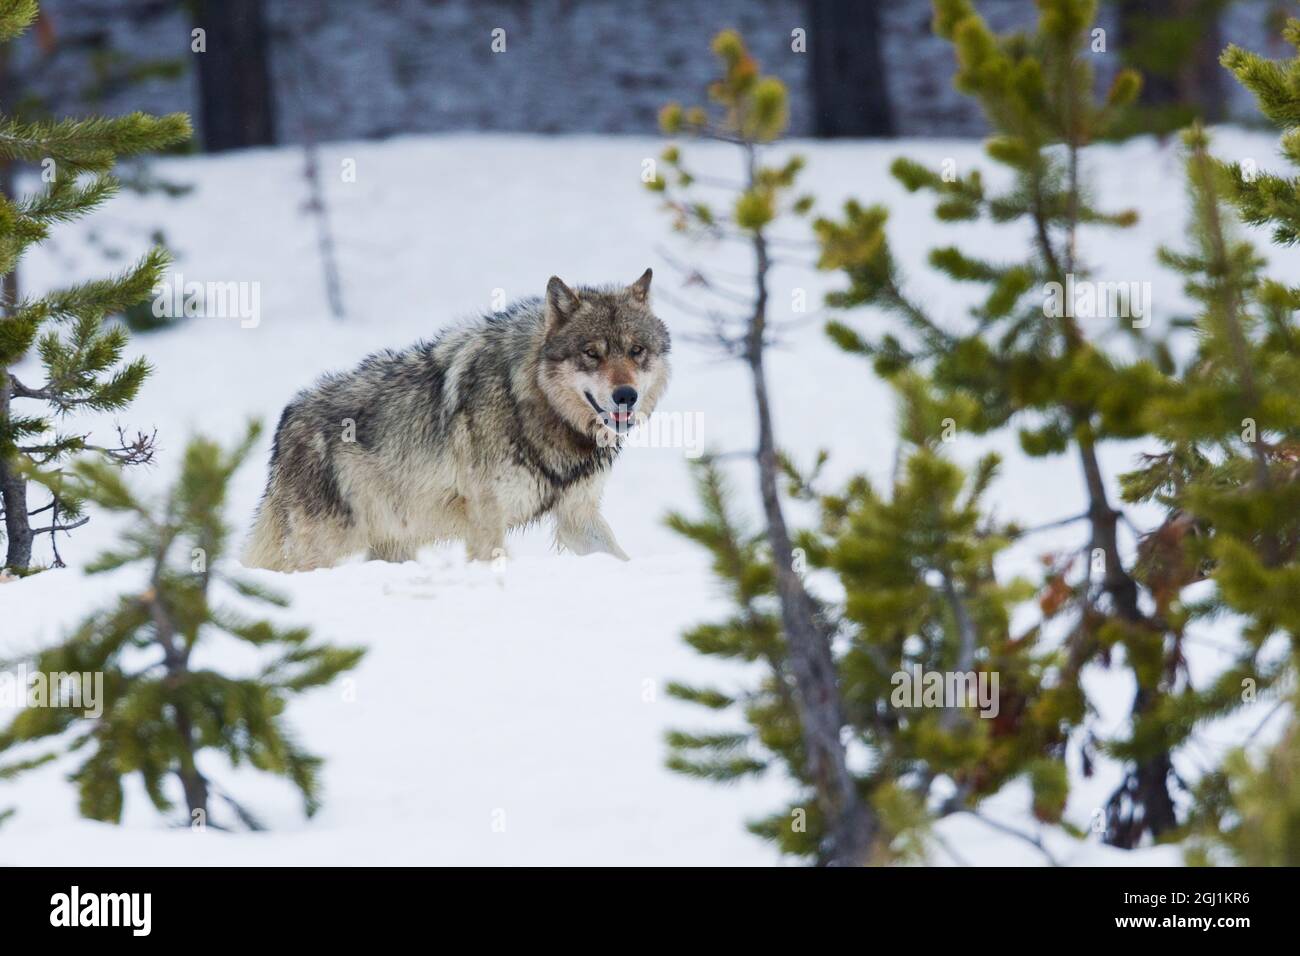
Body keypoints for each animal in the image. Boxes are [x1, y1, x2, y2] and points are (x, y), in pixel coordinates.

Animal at [243, 270, 670, 572]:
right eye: (591, 353)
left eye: (637, 351)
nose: (626, 395)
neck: (532, 401)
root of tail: (288, 419)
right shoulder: (486, 520)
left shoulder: (577, 517)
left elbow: (620, 558)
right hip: (323, 548)